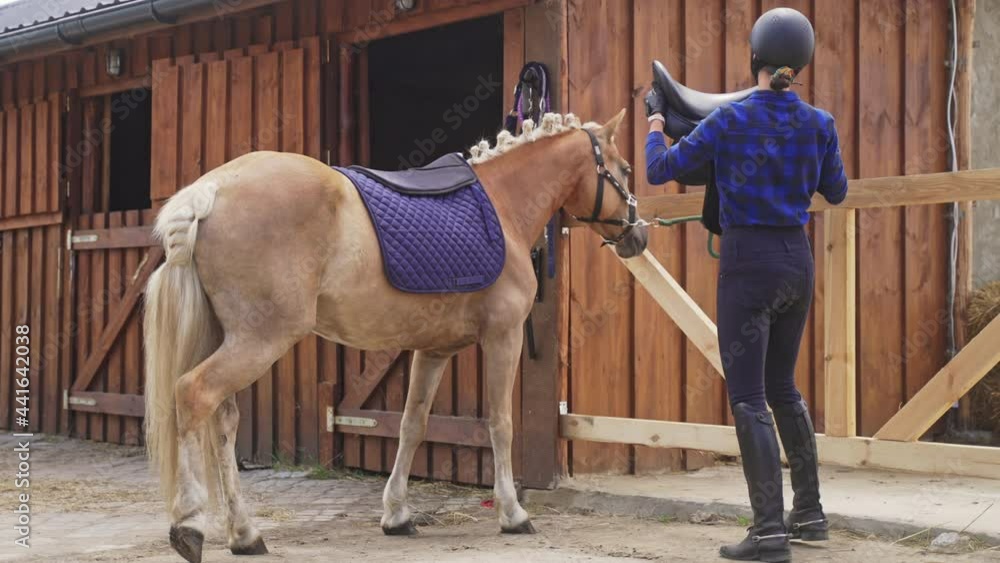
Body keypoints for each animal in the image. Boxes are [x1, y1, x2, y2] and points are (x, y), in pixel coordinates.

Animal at [143, 109, 647, 563]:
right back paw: (190, 525)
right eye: (623, 170)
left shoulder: (433, 350)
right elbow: (501, 424)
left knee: (222, 420)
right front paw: (513, 513)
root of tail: (210, 191)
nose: (638, 236)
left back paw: (245, 534)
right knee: (193, 395)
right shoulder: (504, 338)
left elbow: (412, 425)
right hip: (259, 340)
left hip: (231, 341)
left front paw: (397, 514)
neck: (502, 205)